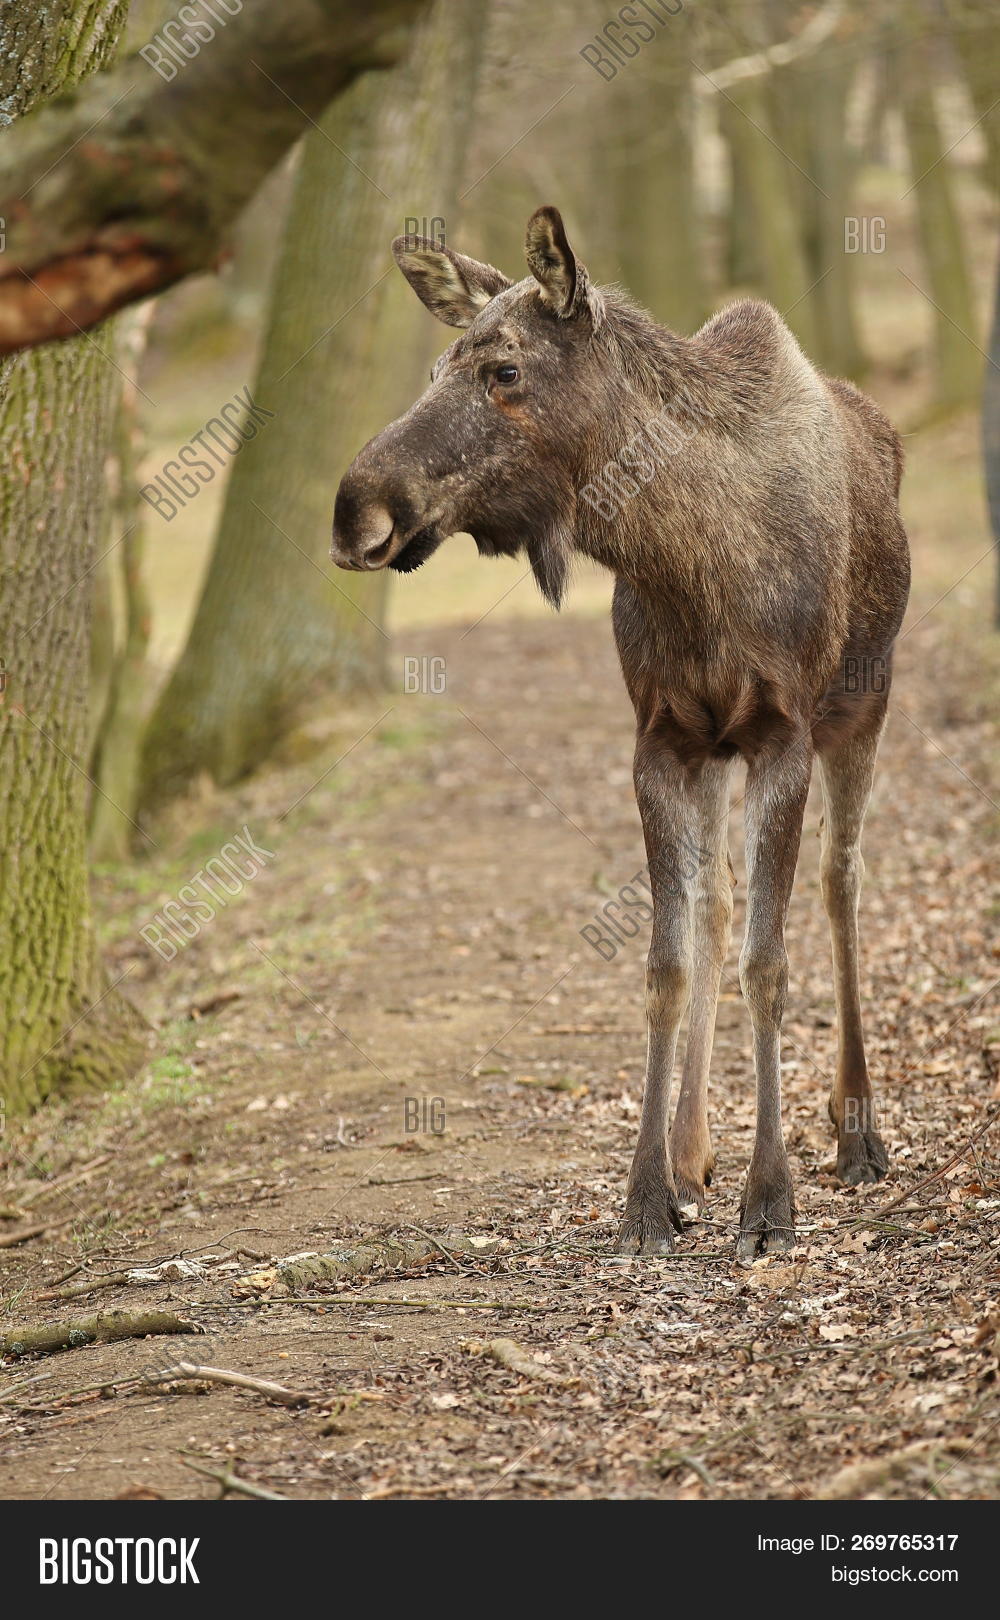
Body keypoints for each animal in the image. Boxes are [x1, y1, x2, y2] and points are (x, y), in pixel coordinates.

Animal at [330, 206, 910, 1260]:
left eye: (504, 369)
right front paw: (648, 1197)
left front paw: (771, 1201)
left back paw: (856, 1131)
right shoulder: (663, 739)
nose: (356, 509)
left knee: (842, 881)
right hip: (724, 752)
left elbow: (771, 964)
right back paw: (691, 1152)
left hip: (864, 705)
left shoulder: (784, 732)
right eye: (438, 363)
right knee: (718, 906)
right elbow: (669, 963)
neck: (688, 562)